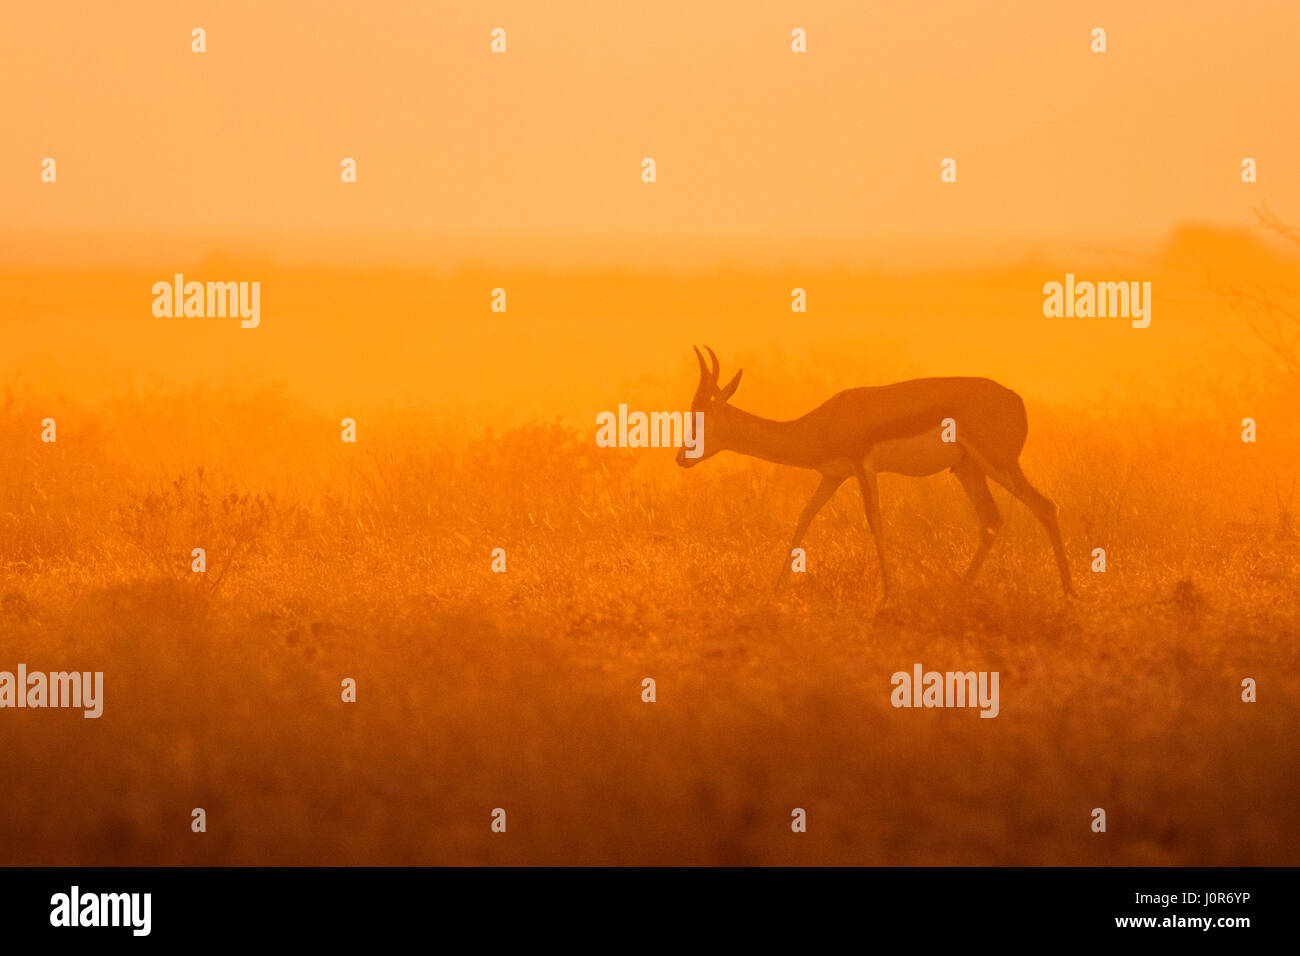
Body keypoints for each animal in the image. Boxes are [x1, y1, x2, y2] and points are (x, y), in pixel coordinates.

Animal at [675, 347, 1073, 596]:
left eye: (702, 417)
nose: (682, 458)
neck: (821, 424)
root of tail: (1016, 400)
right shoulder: (833, 476)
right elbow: (804, 517)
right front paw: (776, 589)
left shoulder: (863, 468)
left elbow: (875, 522)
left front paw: (888, 592)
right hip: (967, 469)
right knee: (991, 520)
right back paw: (959, 591)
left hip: (999, 464)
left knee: (1046, 507)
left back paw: (1068, 593)